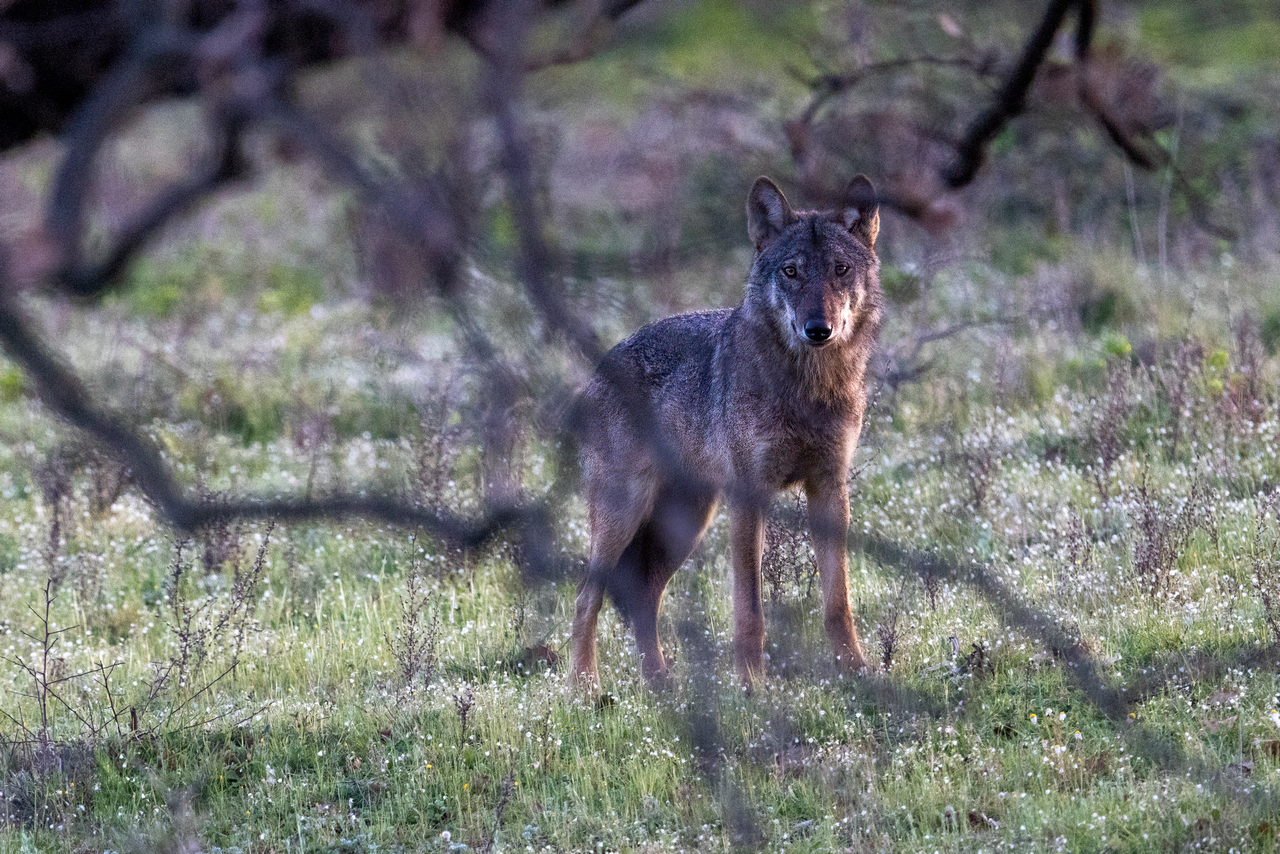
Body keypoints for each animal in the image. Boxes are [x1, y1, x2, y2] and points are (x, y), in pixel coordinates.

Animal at [570, 175, 882, 689]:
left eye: (840, 270)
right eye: (791, 272)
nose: (818, 329)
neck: (807, 388)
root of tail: (601, 365)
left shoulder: (829, 489)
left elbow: (838, 603)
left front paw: (857, 672)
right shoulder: (749, 496)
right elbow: (750, 610)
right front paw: (751, 685)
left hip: (686, 523)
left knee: (642, 595)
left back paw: (660, 683)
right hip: (624, 515)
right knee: (586, 598)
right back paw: (585, 688)